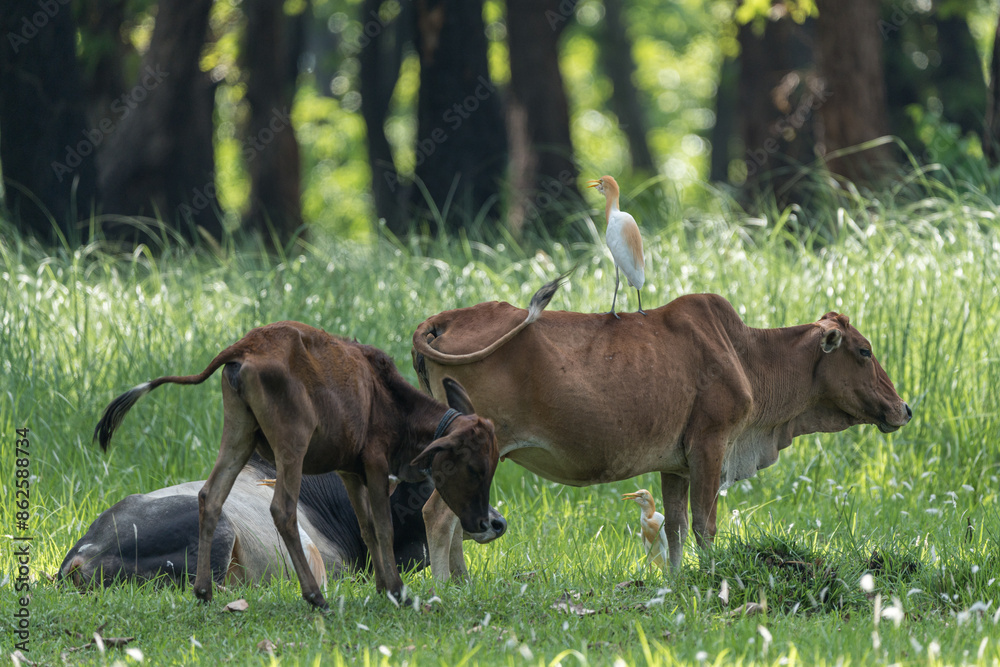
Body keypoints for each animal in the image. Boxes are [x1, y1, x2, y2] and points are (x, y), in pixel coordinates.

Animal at [412, 280, 912, 578]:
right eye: (865, 351)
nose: (904, 408)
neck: (747, 355)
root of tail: (441, 319)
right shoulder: (711, 447)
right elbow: (705, 524)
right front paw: (711, 577)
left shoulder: (676, 465)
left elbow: (675, 526)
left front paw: (675, 580)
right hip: (475, 455)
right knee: (437, 515)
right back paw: (447, 590)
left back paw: (462, 583)